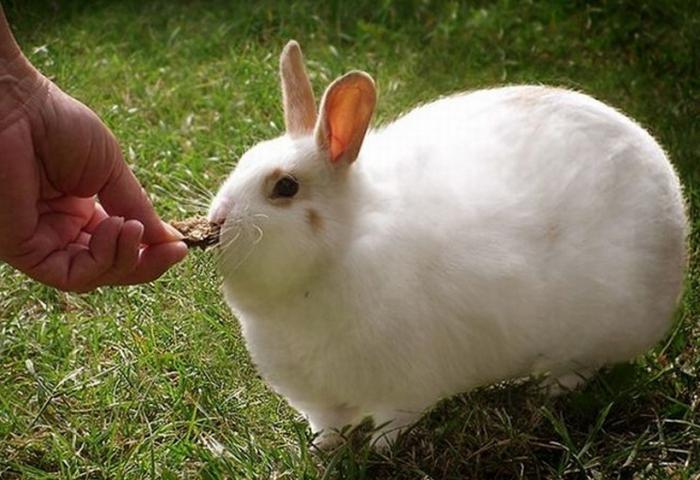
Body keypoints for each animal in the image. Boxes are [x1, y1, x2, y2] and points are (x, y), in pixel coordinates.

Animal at [209, 41, 688, 450]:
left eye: (285, 187)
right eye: (242, 162)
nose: (216, 221)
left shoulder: (404, 388)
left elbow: (393, 423)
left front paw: (380, 449)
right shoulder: (317, 399)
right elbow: (328, 425)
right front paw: (321, 449)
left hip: (594, 334)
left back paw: (545, 388)